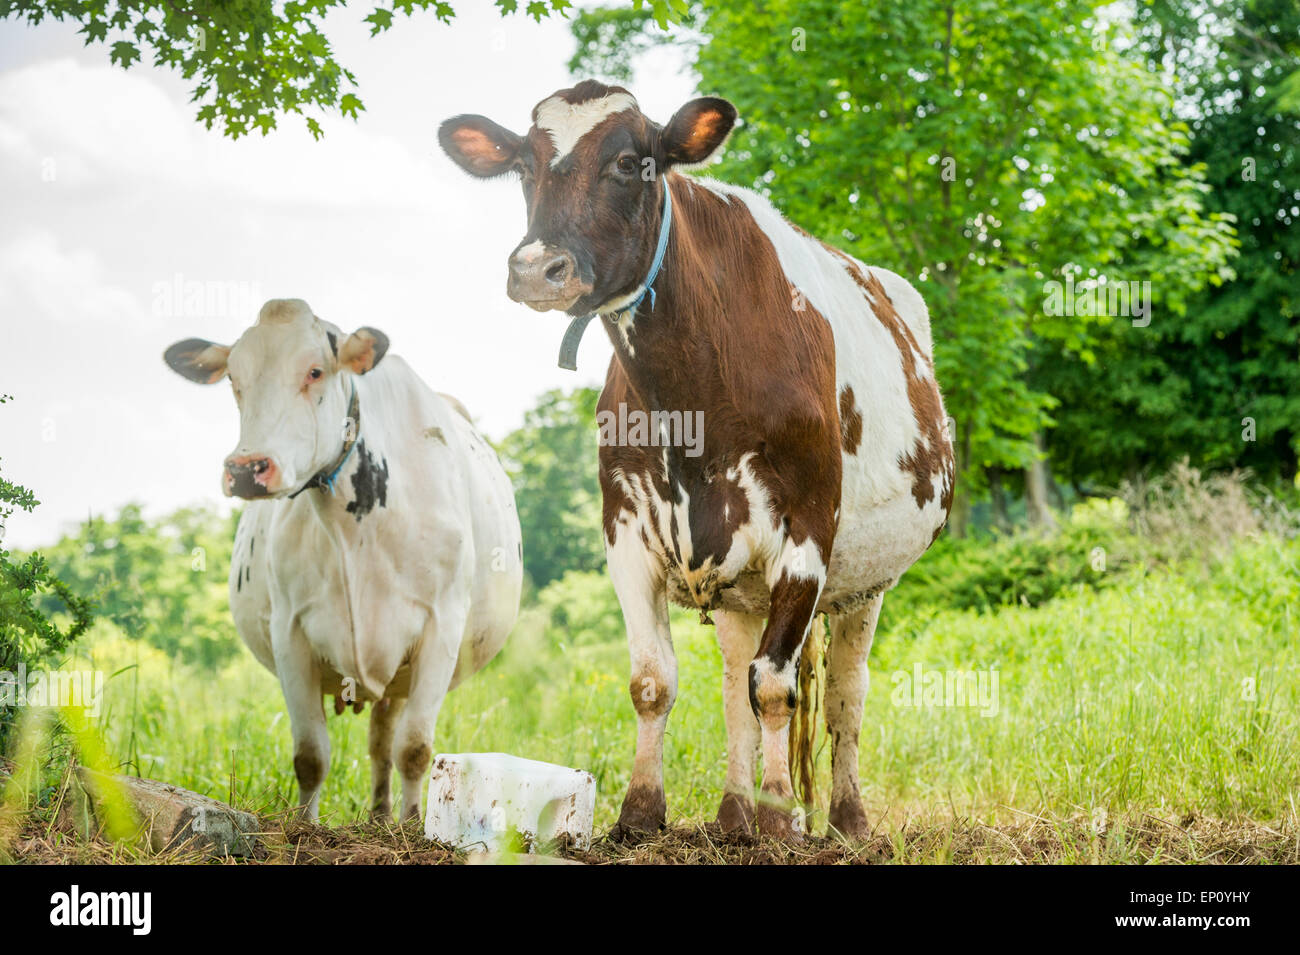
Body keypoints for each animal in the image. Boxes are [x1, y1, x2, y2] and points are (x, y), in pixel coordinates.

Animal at [164, 299, 523, 822]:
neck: (354, 529)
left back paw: (387, 819)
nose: (246, 469)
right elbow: (310, 754)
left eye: (315, 370)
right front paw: (305, 825)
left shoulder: (442, 625)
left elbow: (415, 749)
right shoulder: (289, 630)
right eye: (234, 377)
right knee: (378, 741)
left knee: (387, 741)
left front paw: (413, 826)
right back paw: (378, 815)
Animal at [439, 81, 955, 841]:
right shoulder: (624, 528)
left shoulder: (808, 528)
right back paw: (734, 811)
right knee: (737, 678)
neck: (693, 398)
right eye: (524, 166)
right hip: (744, 588)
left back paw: (845, 819)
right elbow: (655, 681)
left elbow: (778, 688)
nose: (536, 269)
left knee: (842, 694)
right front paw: (640, 812)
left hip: (867, 581)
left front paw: (779, 820)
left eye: (631, 162)